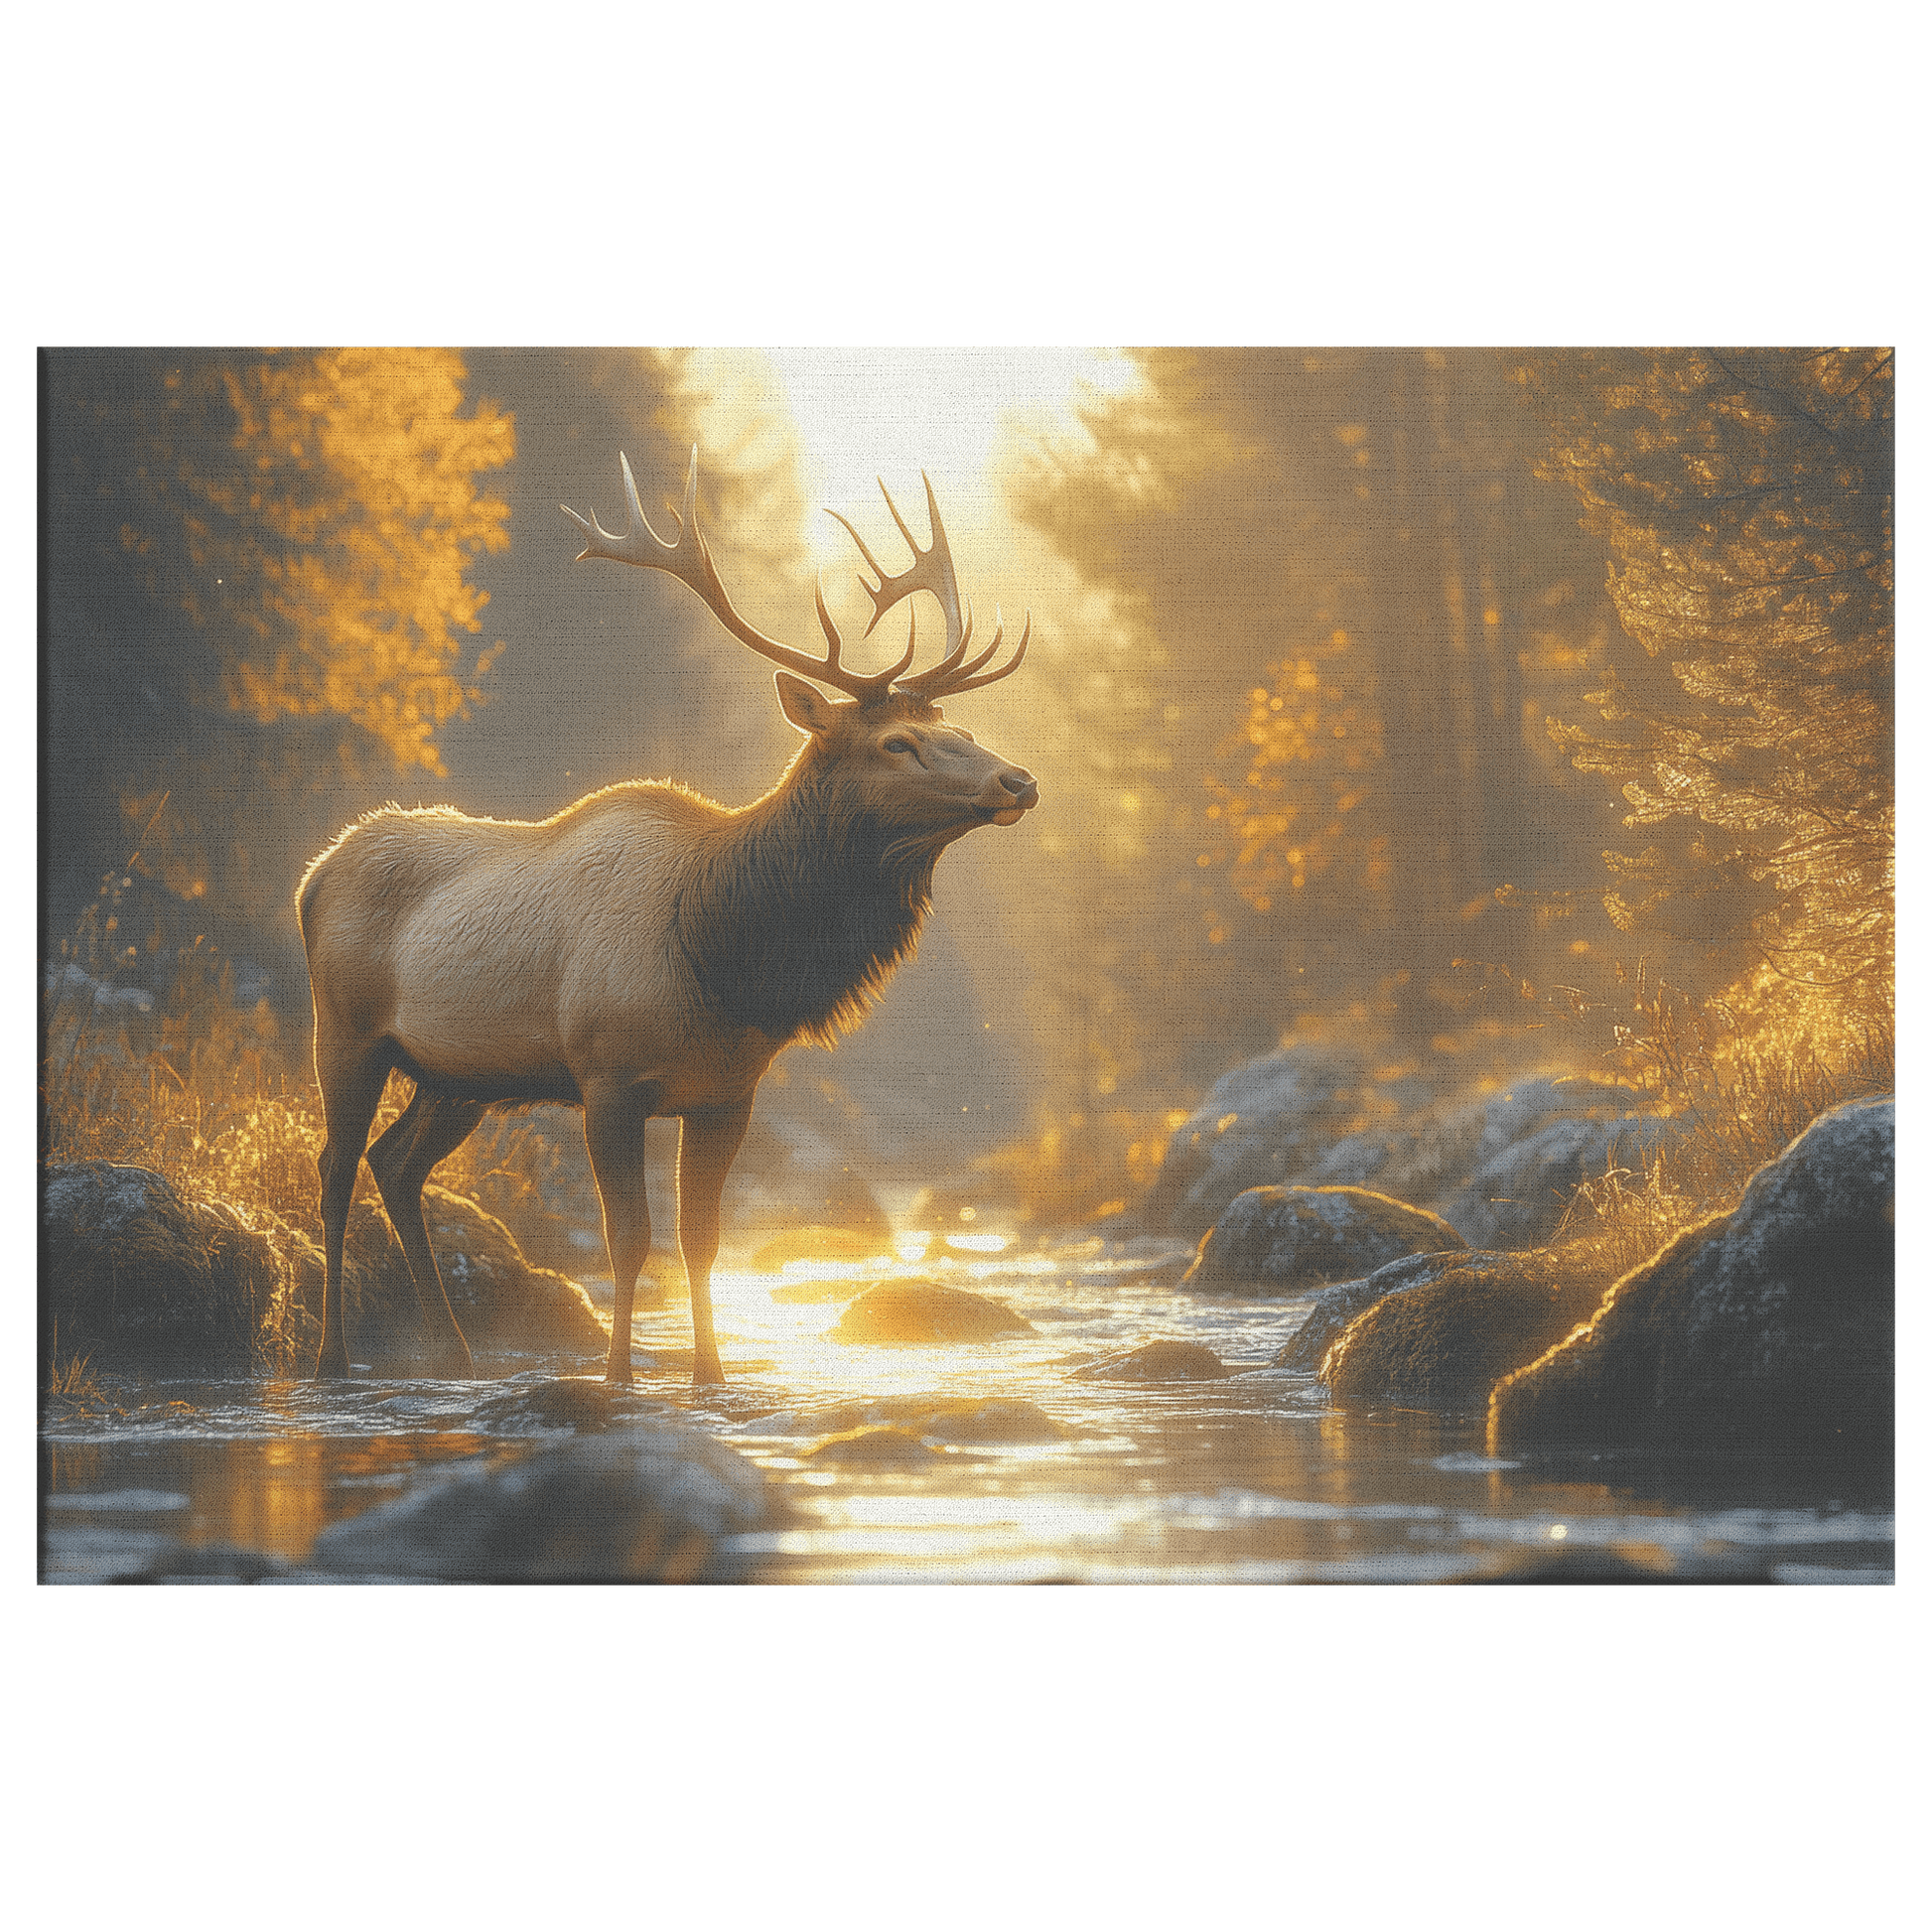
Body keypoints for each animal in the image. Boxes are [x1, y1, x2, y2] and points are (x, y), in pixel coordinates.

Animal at [297, 449, 1037, 1387]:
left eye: (960, 729)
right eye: (895, 743)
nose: (1019, 779)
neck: (724, 954)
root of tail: (314, 873)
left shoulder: (726, 1093)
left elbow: (701, 1241)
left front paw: (710, 1377)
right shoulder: (606, 1078)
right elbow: (629, 1241)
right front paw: (617, 1376)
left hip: (457, 1072)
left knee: (396, 1165)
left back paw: (456, 1355)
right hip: (346, 1031)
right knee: (334, 1168)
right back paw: (332, 1356)